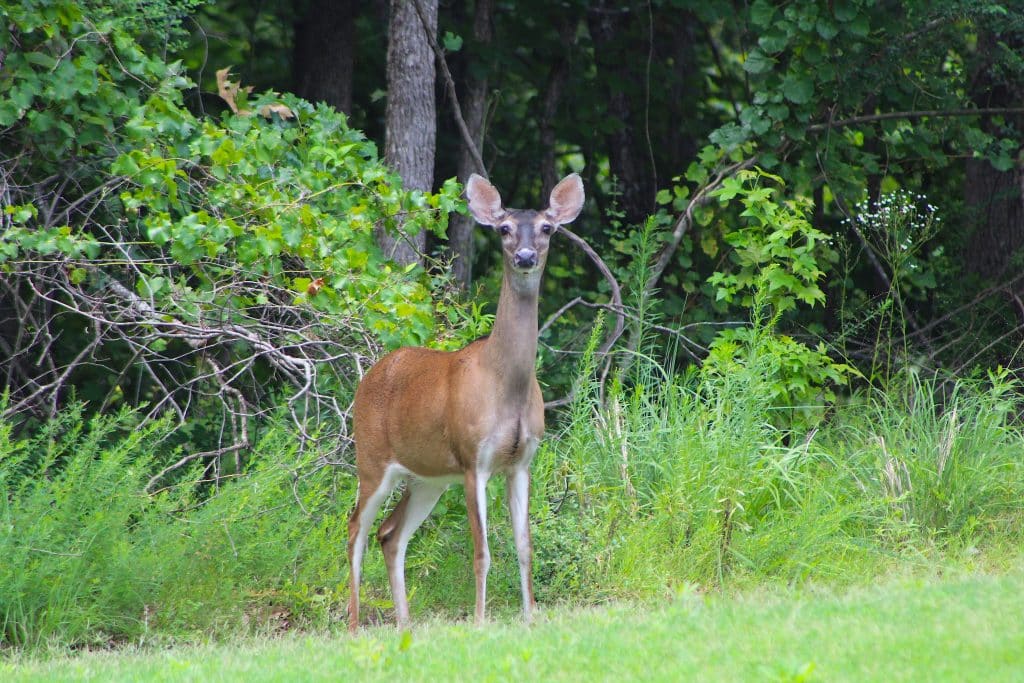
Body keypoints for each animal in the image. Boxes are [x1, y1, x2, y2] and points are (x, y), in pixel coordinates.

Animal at [347, 172, 585, 632]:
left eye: (547, 228)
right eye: (504, 228)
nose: (525, 256)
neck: (504, 385)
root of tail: (367, 376)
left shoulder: (521, 461)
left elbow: (525, 545)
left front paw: (530, 618)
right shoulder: (475, 459)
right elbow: (482, 551)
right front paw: (479, 621)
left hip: (428, 478)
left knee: (390, 533)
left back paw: (405, 624)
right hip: (371, 460)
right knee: (356, 529)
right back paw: (352, 626)